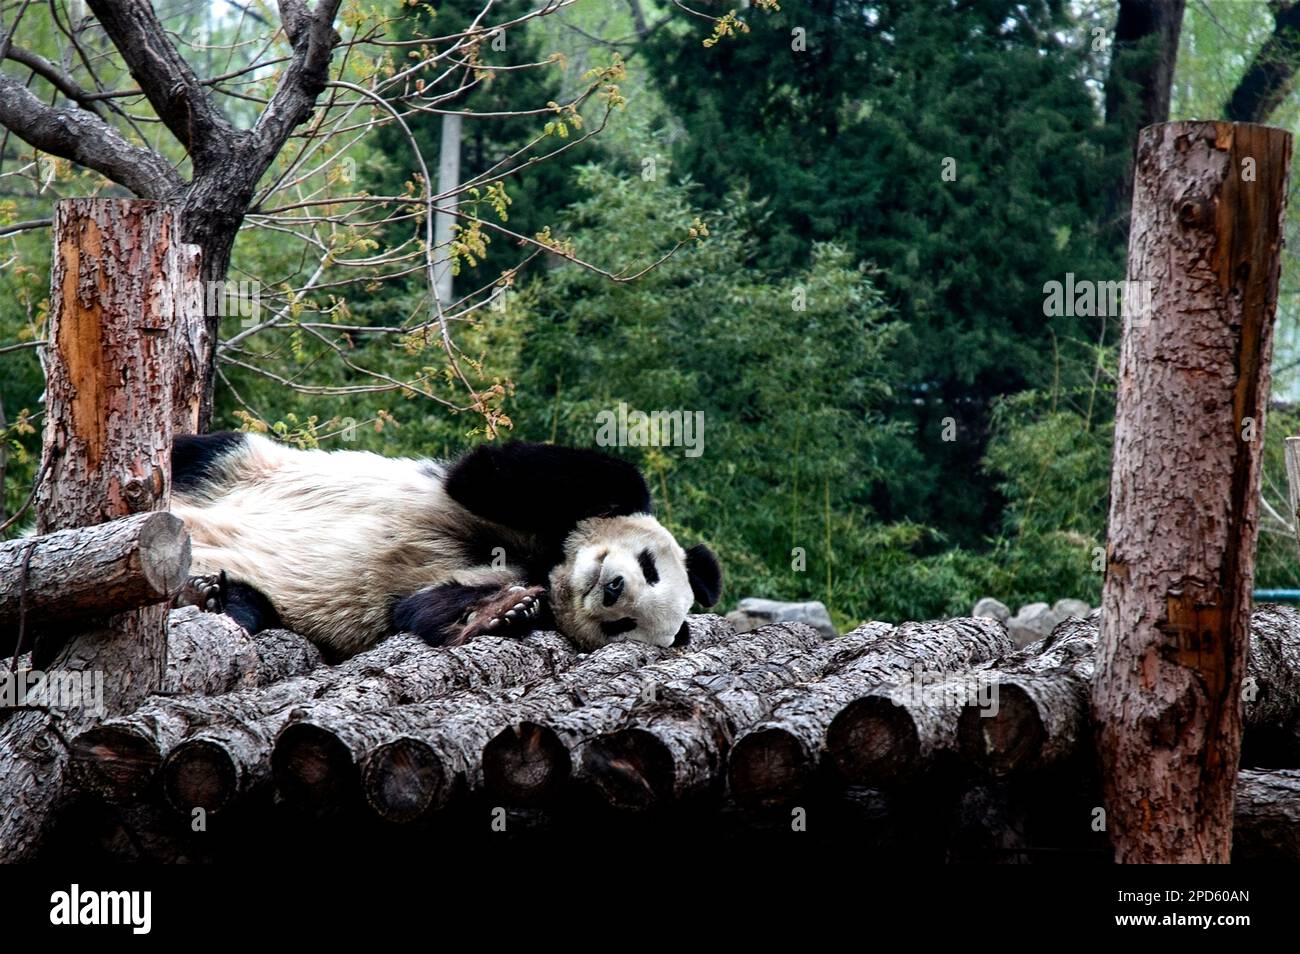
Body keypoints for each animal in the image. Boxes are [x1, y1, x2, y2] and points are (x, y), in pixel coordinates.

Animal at [169, 433, 722, 657]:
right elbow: (483, 473)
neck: (548, 565)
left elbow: (423, 609)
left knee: (250, 608)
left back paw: (208, 593)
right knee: (196, 452)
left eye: (623, 625)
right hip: (239, 465)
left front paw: (506, 614)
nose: (610, 589)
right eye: (649, 566)